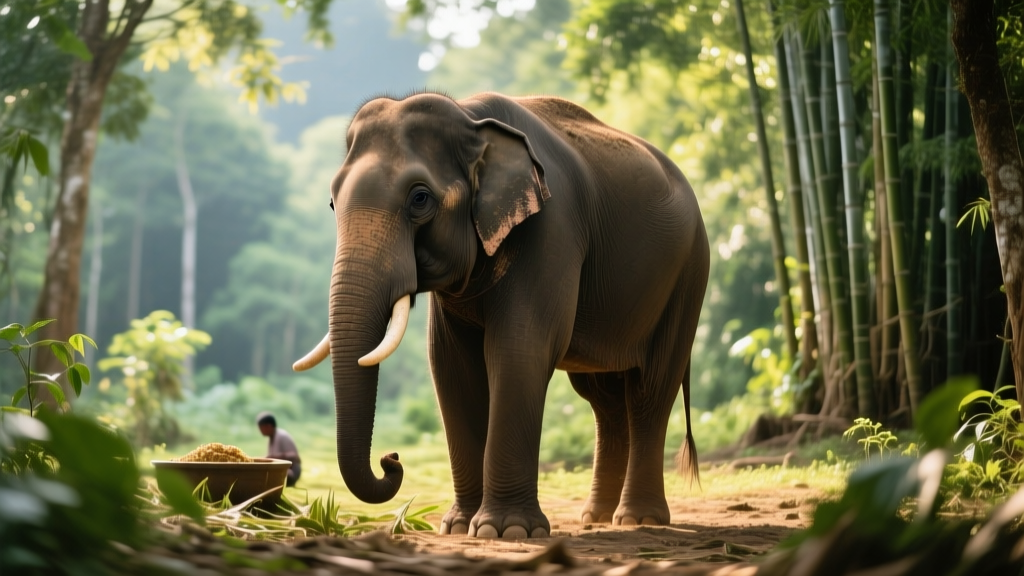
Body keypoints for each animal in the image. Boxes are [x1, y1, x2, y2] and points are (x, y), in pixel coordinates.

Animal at [293, 91, 710, 540]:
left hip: (688, 275)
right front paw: (458, 527)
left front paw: (506, 531)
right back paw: (596, 518)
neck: (470, 117)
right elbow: (451, 366)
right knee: (605, 400)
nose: (392, 458)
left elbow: (519, 349)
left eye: (420, 198)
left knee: (651, 388)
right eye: (332, 202)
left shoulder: (552, 228)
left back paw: (638, 520)